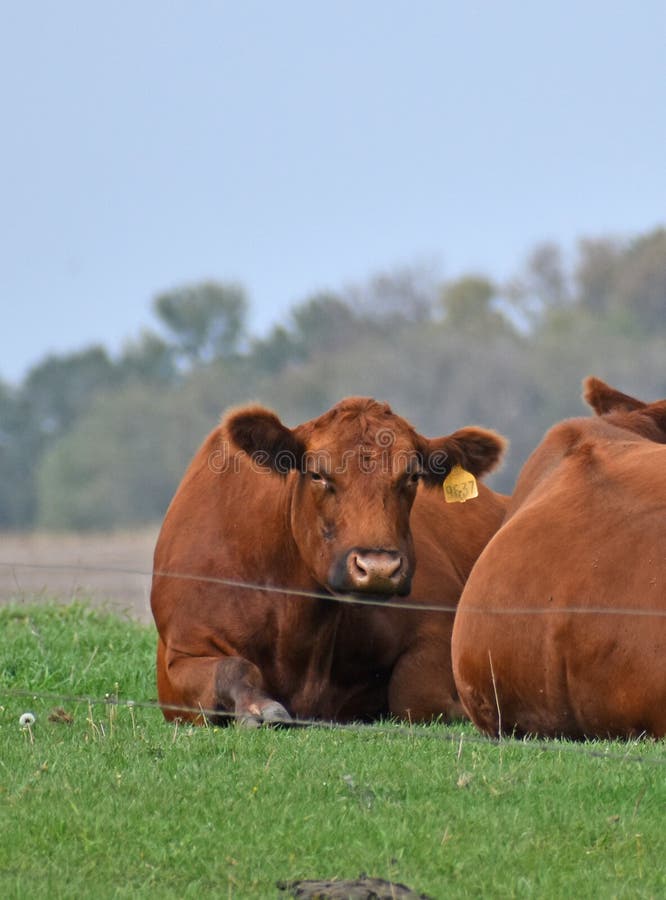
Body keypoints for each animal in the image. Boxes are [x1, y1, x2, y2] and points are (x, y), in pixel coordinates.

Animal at [150, 397, 508, 725]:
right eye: (318, 474)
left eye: (413, 476)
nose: (378, 568)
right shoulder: (181, 656)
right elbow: (232, 668)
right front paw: (259, 708)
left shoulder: (439, 627)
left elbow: (412, 692)